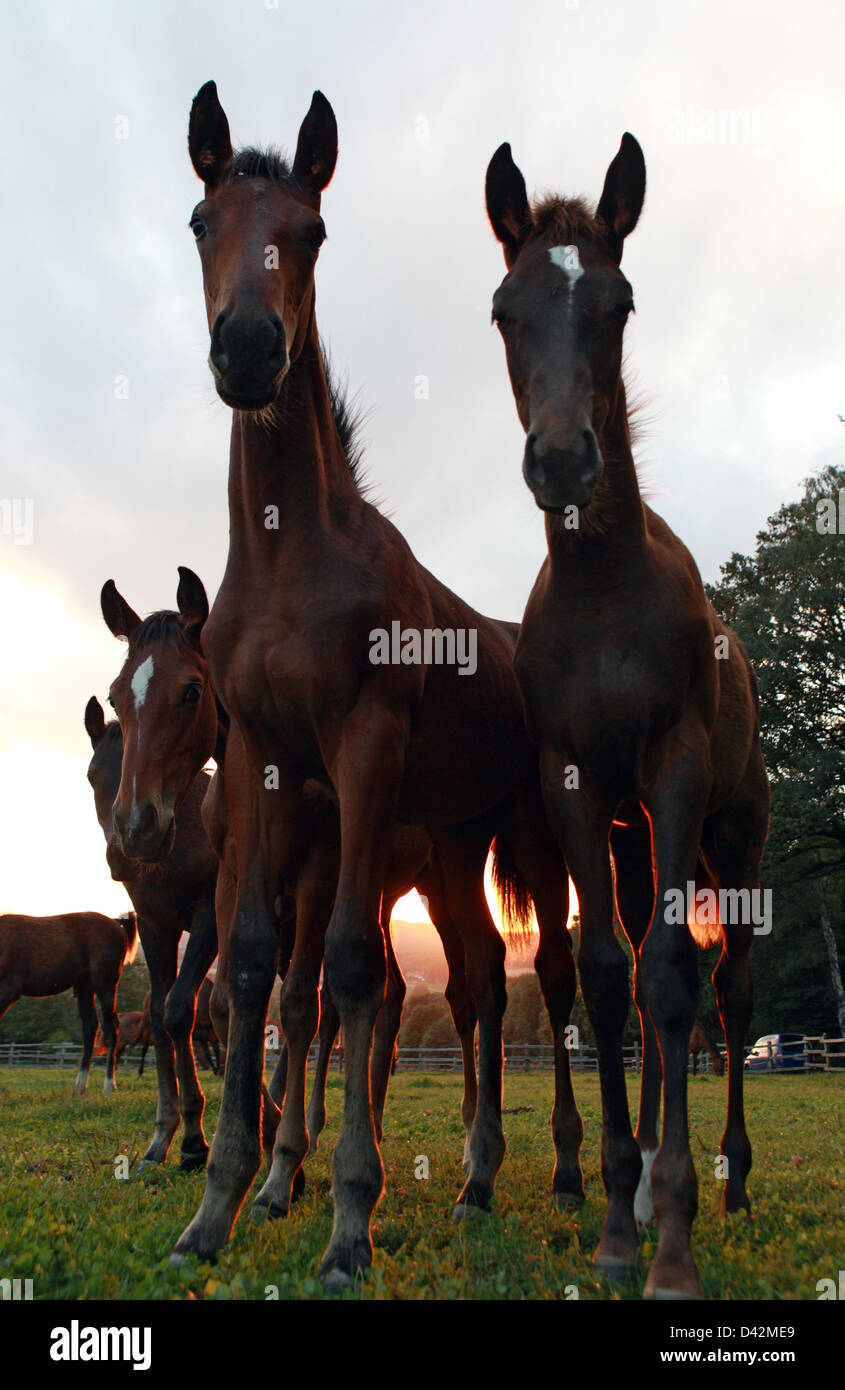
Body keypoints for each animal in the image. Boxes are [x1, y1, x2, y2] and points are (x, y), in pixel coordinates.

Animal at [0, 911, 137, 1093]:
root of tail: (116, 922)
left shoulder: (8, 991)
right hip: (85, 986)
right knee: (90, 1026)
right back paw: (80, 1086)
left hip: (105, 984)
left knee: (111, 1026)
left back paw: (109, 1085)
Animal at [85, 694, 219, 1169]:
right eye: (91, 775)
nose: (122, 855)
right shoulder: (154, 925)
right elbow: (160, 1018)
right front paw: (162, 1137)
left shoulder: (207, 918)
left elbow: (180, 1009)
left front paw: (195, 1141)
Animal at [173, 81, 582, 1286]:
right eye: (201, 222)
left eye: (310, 232)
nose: (248, 348)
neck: (287, 558)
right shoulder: (263, 762)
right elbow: (255, 970)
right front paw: (218, 1206)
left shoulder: (358, 750)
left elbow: (351, 968)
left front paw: (348, 1220)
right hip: (450, 842)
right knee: (483, 973)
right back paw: (479, 1179)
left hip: (529, 833)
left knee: (560, 978)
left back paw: (569, 1173)